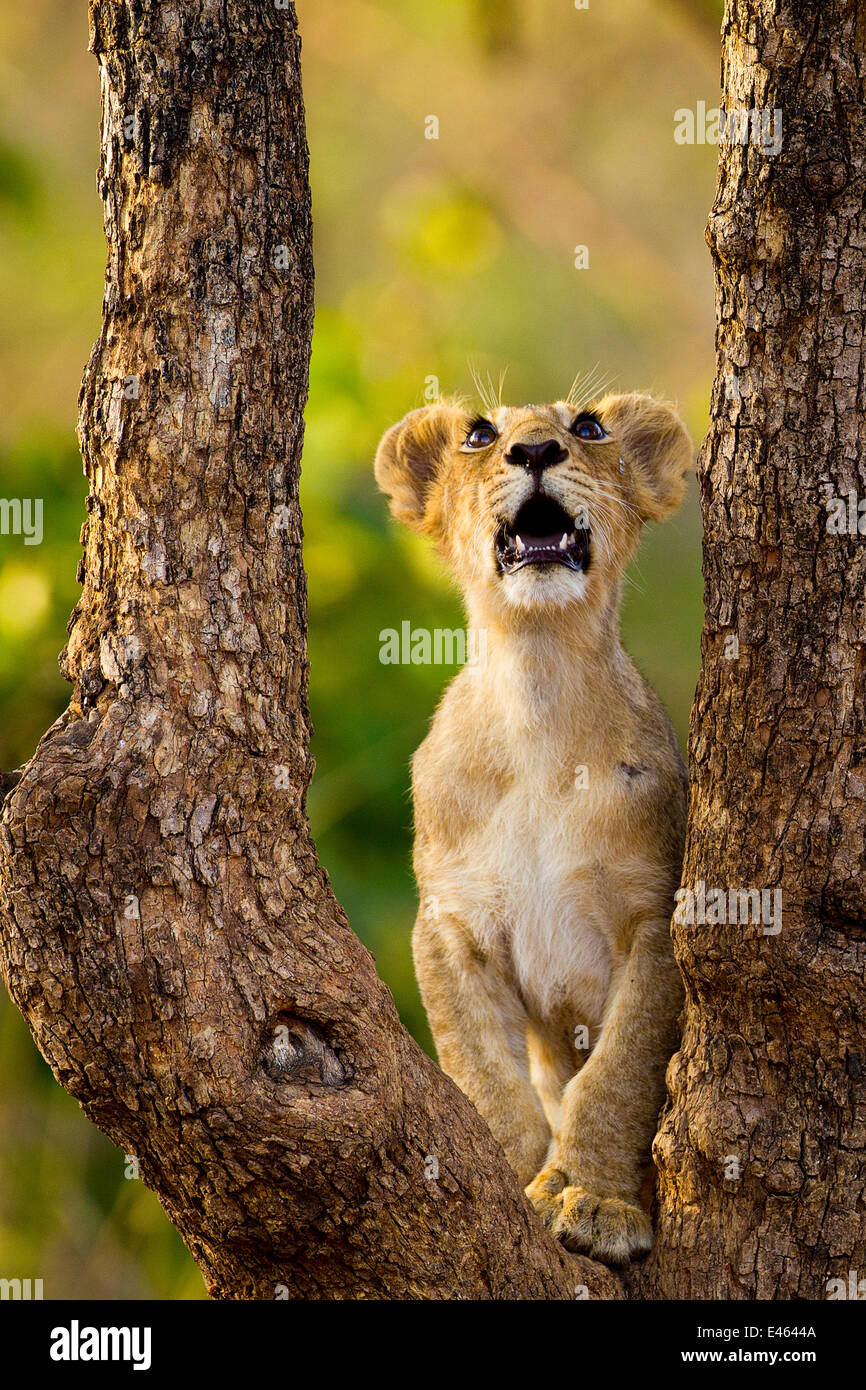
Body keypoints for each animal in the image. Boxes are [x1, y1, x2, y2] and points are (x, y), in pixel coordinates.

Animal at [374, 387, 693, 1264]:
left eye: (587, 427)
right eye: (482, 434)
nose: (537, 451)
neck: (537, 689)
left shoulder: (653, 917)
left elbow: (617, 1075)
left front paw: (595, 1201)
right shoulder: (451, 923)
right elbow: (486, 1077)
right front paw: (511, 1181)